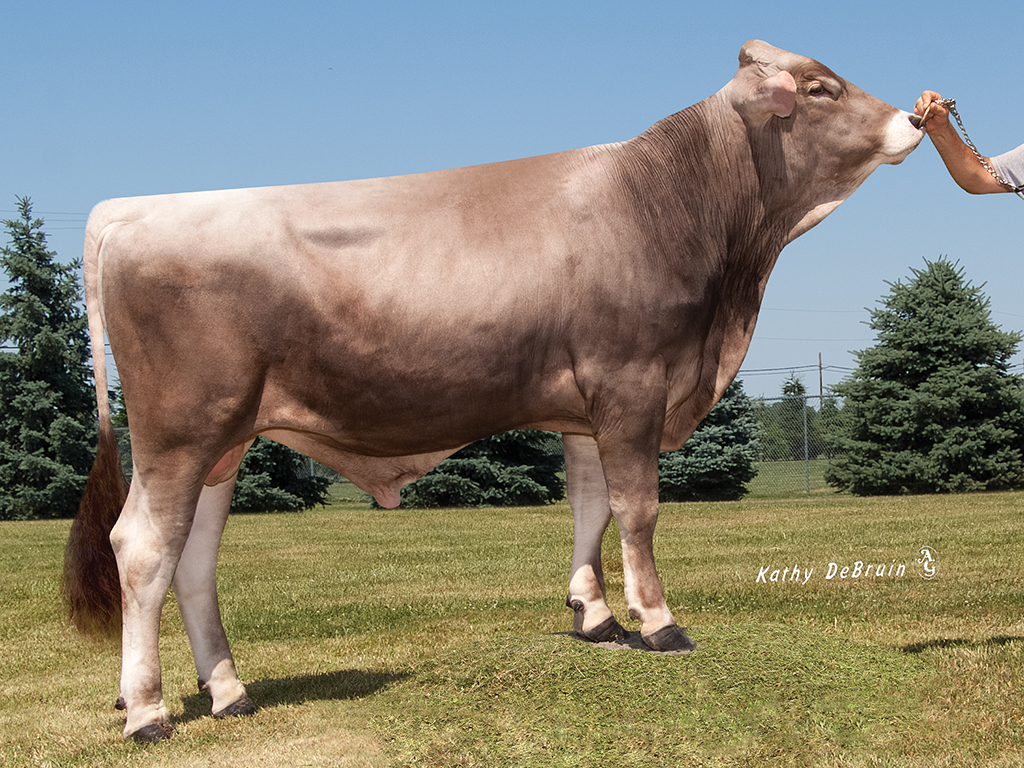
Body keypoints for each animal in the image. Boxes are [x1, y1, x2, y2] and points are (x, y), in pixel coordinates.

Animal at [63, 40, 924, 742]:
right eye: (820, 87)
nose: (915, 119)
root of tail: (133, 210)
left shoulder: (584, 407)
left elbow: (590, 506)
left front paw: (595, 617)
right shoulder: (632, 384)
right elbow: (637, 508)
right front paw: (660, 623)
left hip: (224, 440)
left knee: (194, 559)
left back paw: (229, 692)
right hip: (181, 430)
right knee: (142, 547)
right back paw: (147, 711)